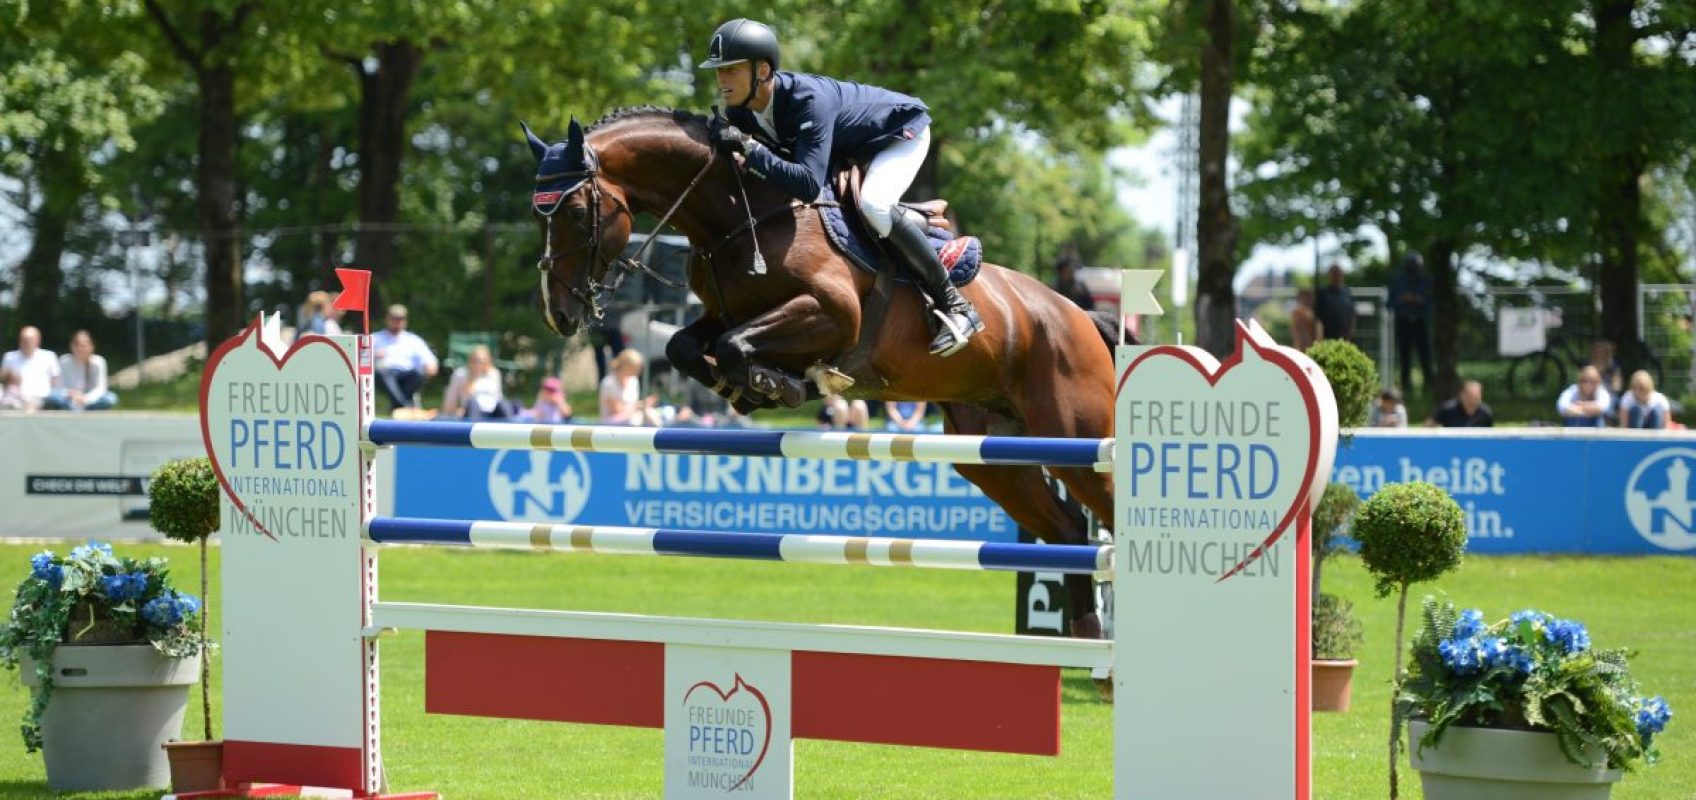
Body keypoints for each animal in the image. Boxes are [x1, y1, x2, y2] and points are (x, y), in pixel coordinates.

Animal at [525, 107, 1125, 638]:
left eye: (574, 212)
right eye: (539, 215)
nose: (560, 313)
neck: (738, 213)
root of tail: (1080, 316)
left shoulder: (832, 314)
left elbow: (736, 345)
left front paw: (784, 384)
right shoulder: (724, 314)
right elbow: (687, 345)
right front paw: (749, 388)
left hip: (1076, 437)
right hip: (997, 460)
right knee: (1070, 528)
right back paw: (1088, 639)